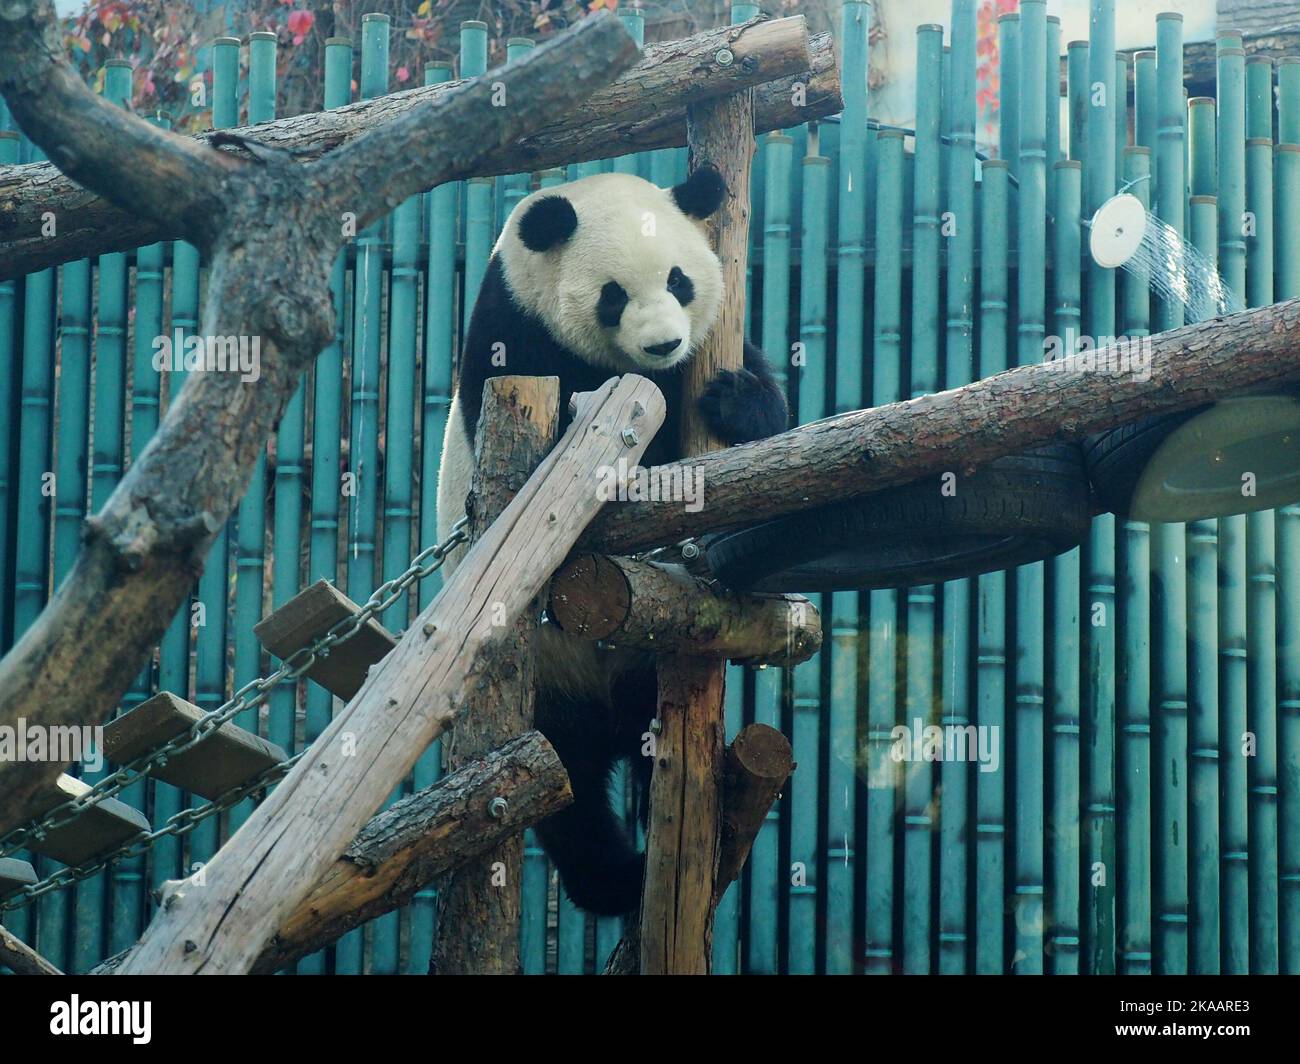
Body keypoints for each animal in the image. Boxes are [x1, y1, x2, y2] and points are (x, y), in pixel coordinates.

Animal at [436, 167, 788, 915]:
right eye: (613, 295)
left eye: (680, 281)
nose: (661, 345)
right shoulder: (513, 333)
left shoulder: (705, 346)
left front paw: (736, 401)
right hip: (547, 676)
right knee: (565, 781)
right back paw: (617, 880)